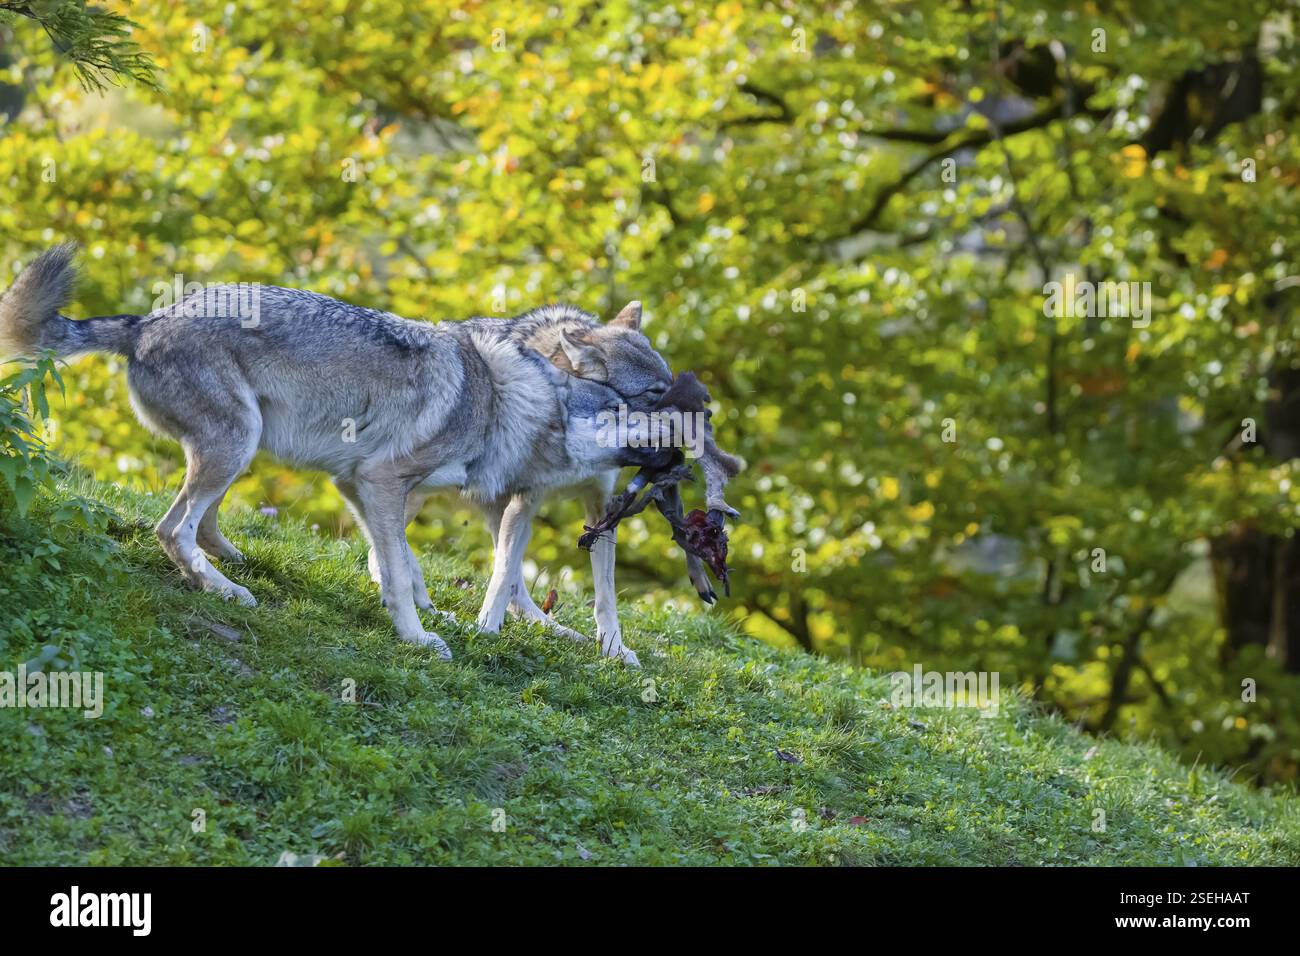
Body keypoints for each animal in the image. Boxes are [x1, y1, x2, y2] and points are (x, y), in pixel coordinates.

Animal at [0, 243, 714, 665]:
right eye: (647, 399)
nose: (699, 428)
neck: (499, 396)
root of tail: (148, 320)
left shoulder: (364, 484)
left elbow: (429, 564)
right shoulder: (382, 481)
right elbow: (403, 568)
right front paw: (420, 636)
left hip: (242, 446)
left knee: (196, 521)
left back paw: (233, 563)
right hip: (236, 444)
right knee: (170, 528)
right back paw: (225, 588)